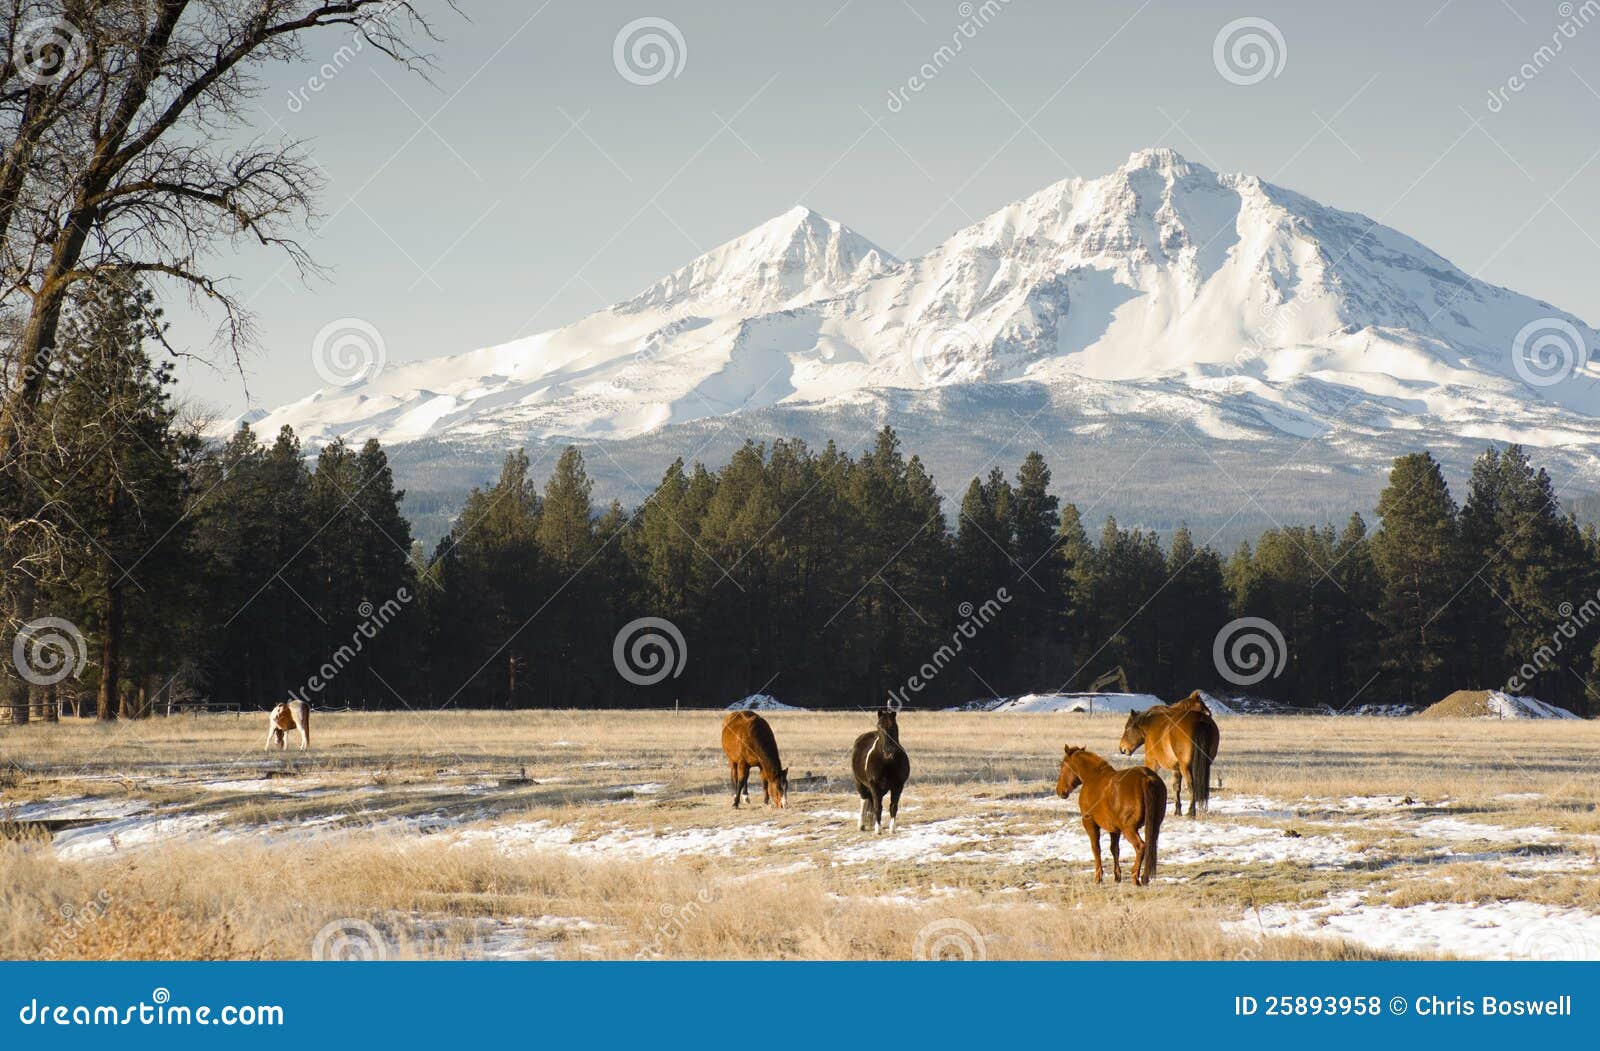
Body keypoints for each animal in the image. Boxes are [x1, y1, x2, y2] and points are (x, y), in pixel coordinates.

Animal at [1056, 745, 1165, 885]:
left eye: (1062, 766)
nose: (1060, 791)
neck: (1094, 777)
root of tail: (1146, 777)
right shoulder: (1114, 829)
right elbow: (1115, 849)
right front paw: (1117, 876)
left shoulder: (1089, 822)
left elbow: (1096, 848)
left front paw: (1098, 877)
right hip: (1154, 825)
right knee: (1151, 846)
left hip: (1129, 829)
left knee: (1141, 846)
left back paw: (1135, 877)